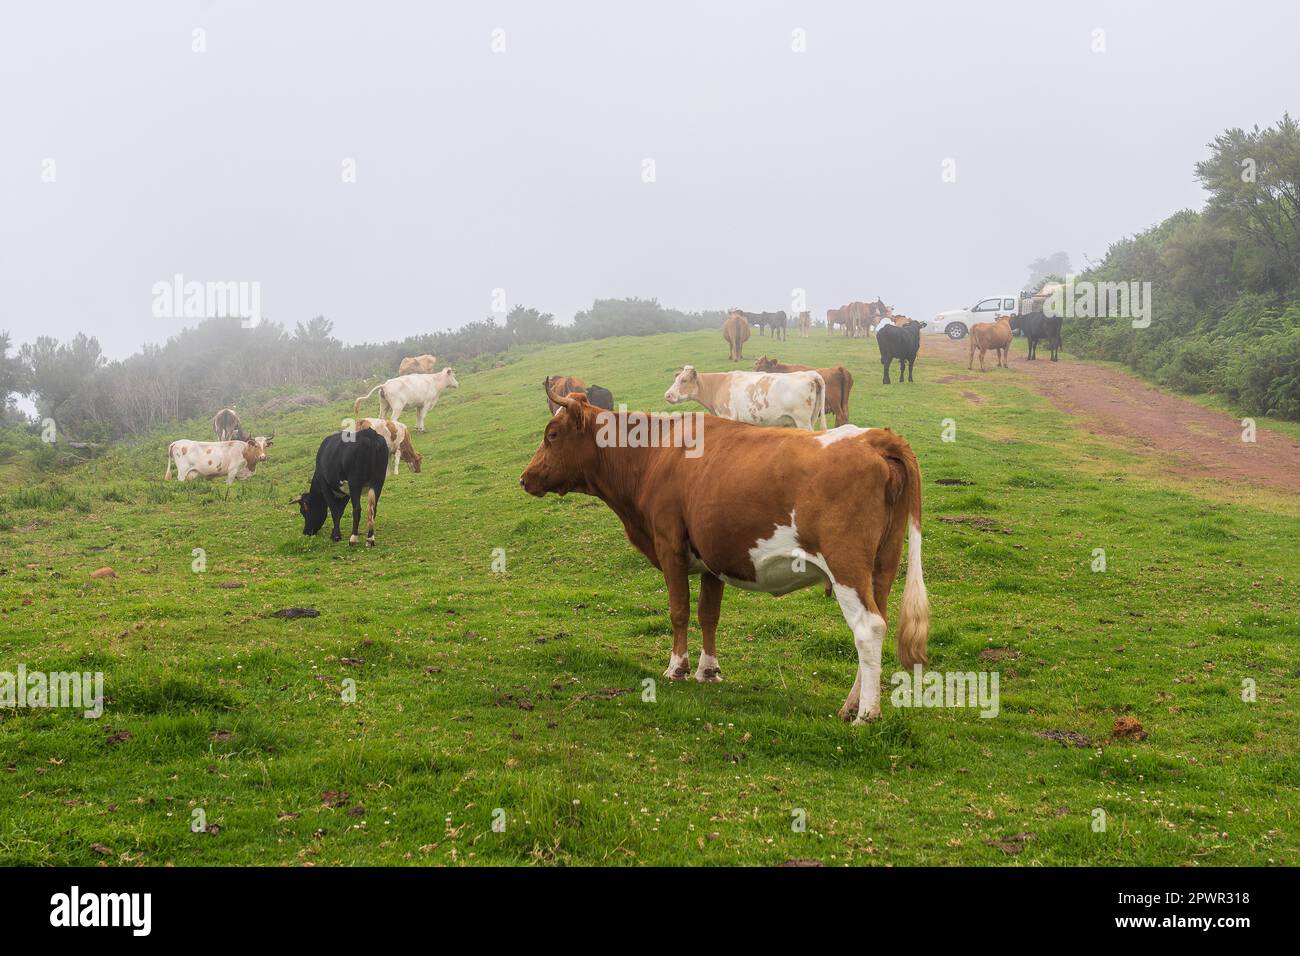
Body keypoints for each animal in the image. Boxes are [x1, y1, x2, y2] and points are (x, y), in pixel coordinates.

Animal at [520, 390, 929, 724]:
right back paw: (850, 705)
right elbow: (709, 615)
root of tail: (874, 437)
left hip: (846, 565)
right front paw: (708, 670)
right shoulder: (711, 558)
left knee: (867, 628)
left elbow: (679, 611)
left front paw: (677, 668)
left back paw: (866, 714)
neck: (654, 454)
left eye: (551, 435)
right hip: (881, 567)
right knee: (879, 622)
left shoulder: (670, 546)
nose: (525, 478)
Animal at [665, 365, 827, 431]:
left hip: (803, 421)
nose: (667, 395)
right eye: (676, 378)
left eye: (684, 380)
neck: (718, 384)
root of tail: (810, 374)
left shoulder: (728, 416)